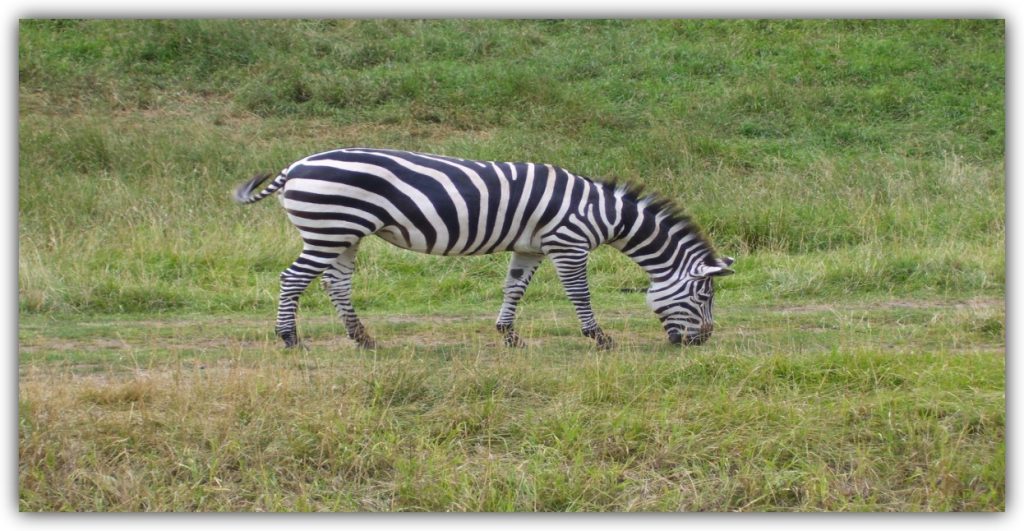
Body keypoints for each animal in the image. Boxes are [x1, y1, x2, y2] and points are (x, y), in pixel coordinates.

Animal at [233, 147, 734, 349]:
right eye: (704, 296)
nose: (703, 342)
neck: (604, 213)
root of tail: (297, 165)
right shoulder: (568, 245)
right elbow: (579, 295)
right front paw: (600, 338)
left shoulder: (531, 247)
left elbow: (514, 289)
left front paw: (508, 335)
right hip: (328, 229)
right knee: (293, 278)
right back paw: (289, 338)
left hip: (342, 235)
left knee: (335, 284)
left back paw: (363, 339)